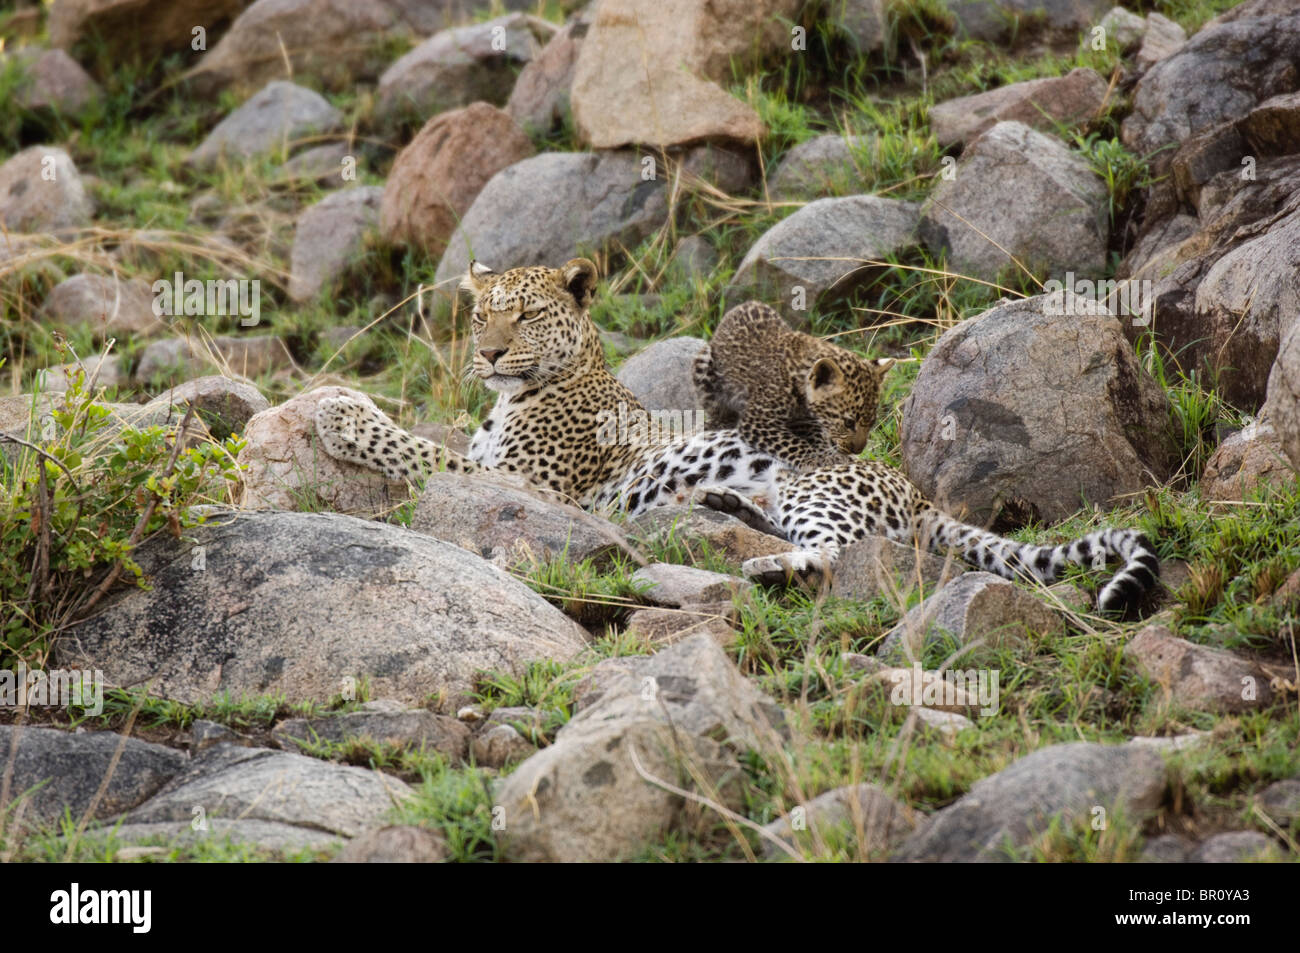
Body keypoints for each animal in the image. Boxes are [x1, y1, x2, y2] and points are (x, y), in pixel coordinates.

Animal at [693, 300, 895, 468]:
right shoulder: (757, 422)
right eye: (848, 422)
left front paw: (829, 454)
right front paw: (817, 459)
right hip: (704, 360)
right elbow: (790, 443)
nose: (858, 450)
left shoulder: (806, 421)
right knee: (715, 409)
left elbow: (817, 438)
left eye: (873, 421)